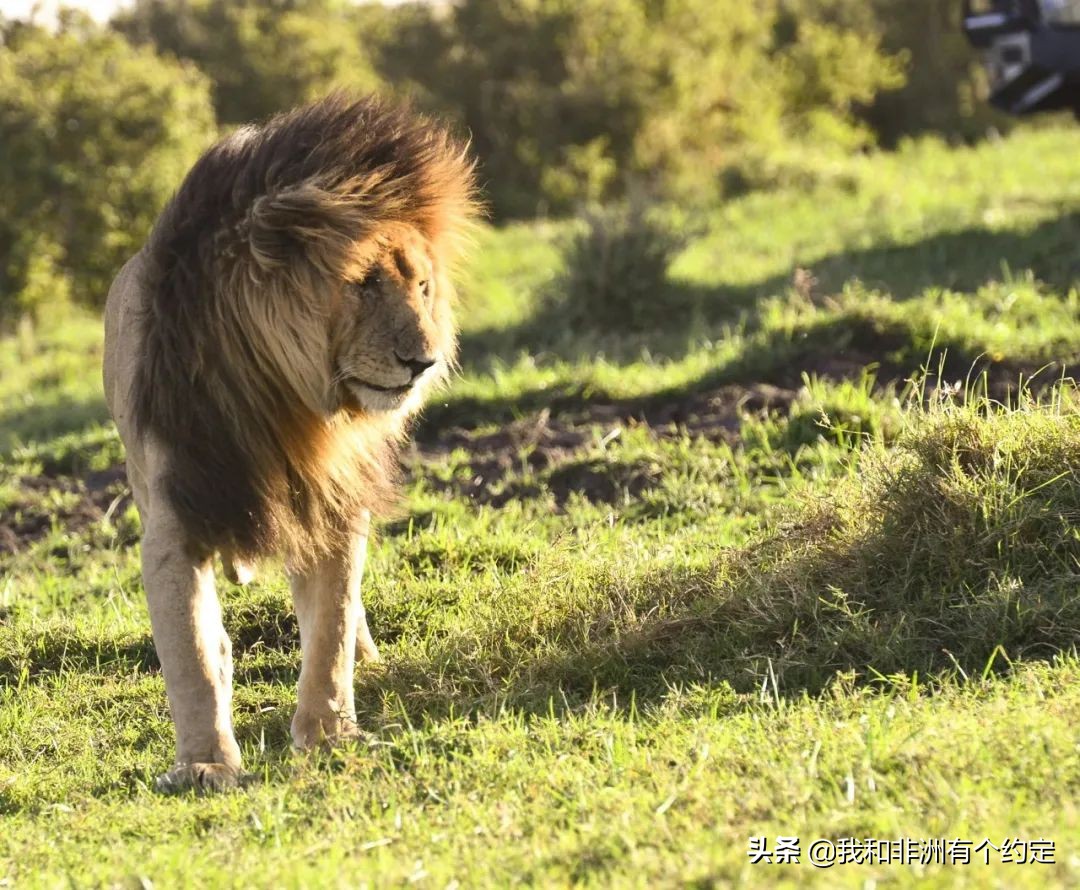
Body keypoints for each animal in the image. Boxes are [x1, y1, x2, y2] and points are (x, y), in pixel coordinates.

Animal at [102, 94, 479, 791]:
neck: (283, 402)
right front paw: (203, 763)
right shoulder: (176, 513)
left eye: (421, 287)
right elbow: (191, 651)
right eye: (363, 283)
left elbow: (329, 629)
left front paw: (330, 736)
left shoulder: (335, 503)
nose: (424, 362)